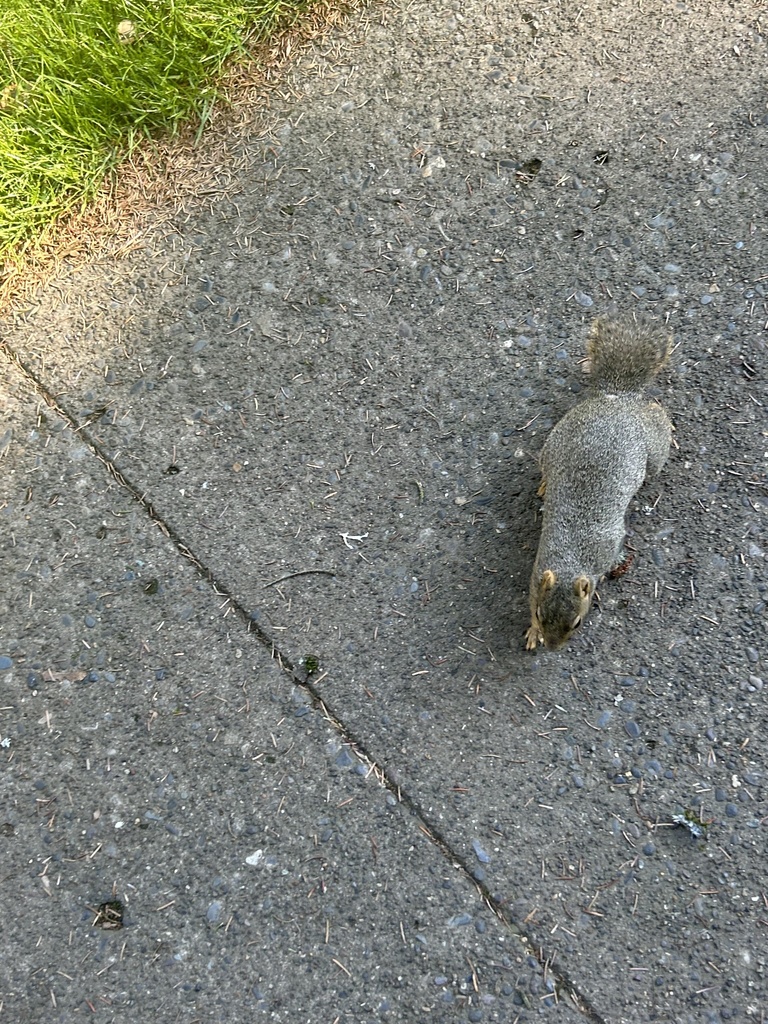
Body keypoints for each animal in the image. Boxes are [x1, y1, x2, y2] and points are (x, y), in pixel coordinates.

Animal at [525, 317, 673, 650]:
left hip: (653, 451)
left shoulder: (607, 547)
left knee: (657, 418)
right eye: (540, 613)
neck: (571, 560)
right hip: (555, 438)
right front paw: (533, 632)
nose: (553, 648)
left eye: (577, 623)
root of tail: (616, 399)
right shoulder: (537, 572)